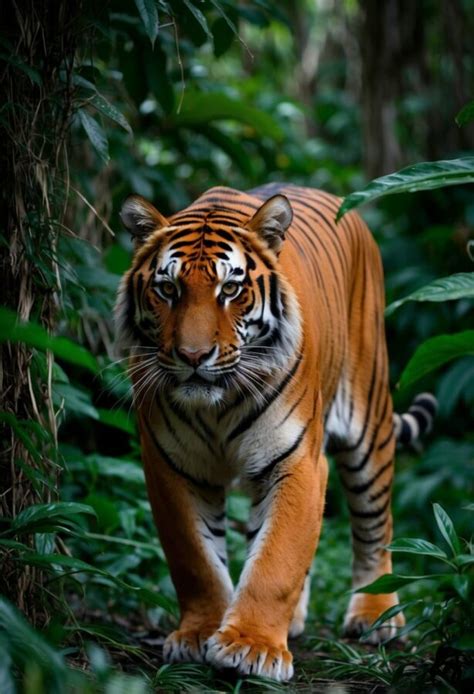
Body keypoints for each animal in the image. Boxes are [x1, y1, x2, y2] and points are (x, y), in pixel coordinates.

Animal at [115, 184, 436, 682]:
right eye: (168, 289)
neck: (218, 407)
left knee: (374, 526)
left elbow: (276, 559)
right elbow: (196, 559)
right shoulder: (172, 465)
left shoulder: (297, 460)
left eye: (230, 289)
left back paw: (376, 617)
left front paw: (252, 648)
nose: (193, 356)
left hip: (370, 424)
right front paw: (199, 635)